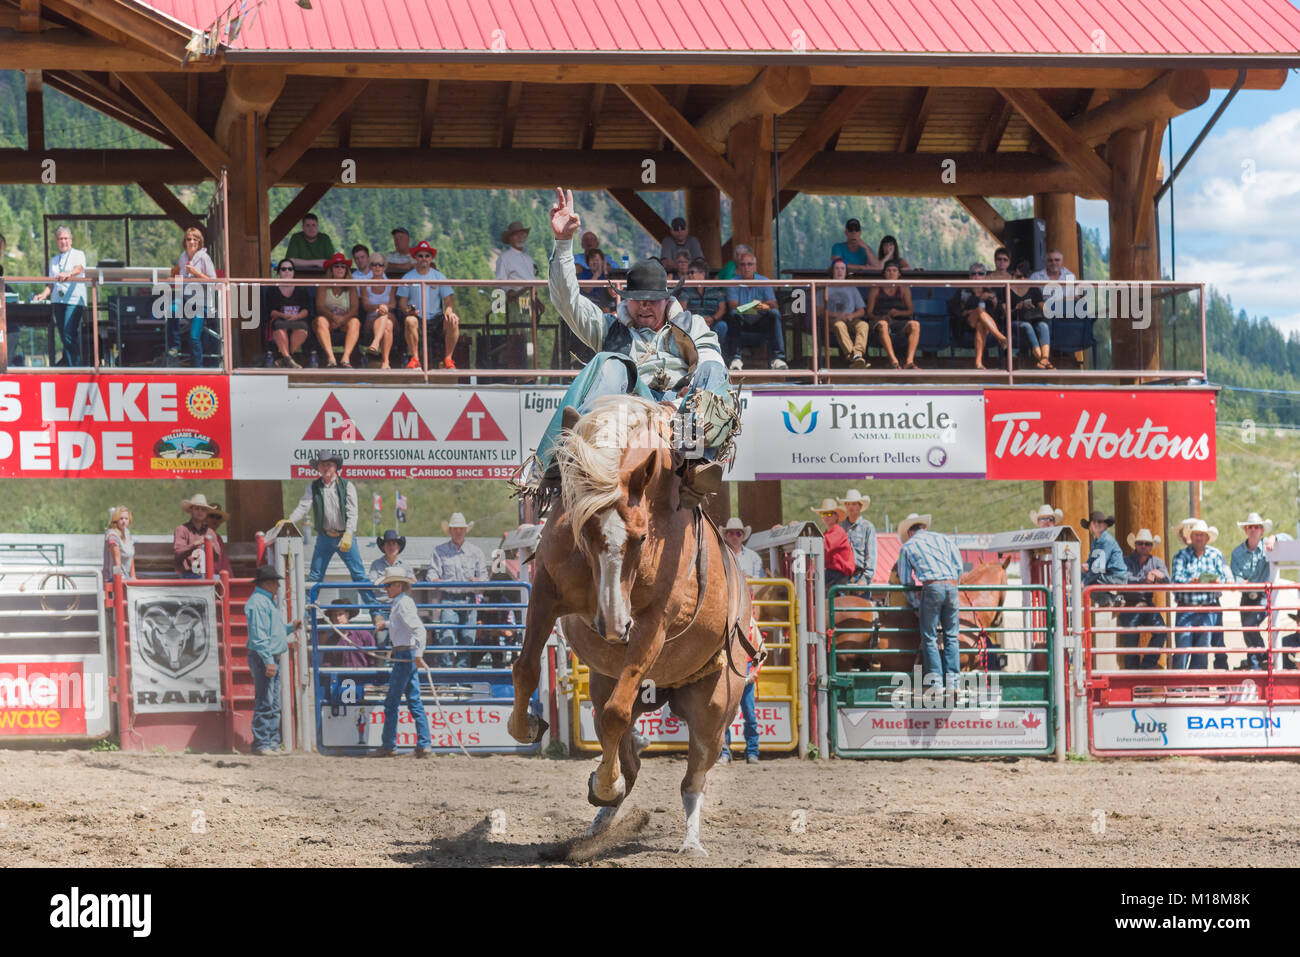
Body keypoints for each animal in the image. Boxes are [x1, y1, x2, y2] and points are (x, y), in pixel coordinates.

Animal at [507, 395, 752, 855]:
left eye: (641, 537)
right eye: (583, 531)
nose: (614, 625)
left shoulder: (654, 623)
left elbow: (617, 715)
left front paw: (605, 786)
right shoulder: (545, 591)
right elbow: (526, 668)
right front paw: (526, 725)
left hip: (713, 709)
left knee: (692, 777)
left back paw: (689, 841)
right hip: (605, 681)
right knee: (625, 749)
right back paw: (603, 816)